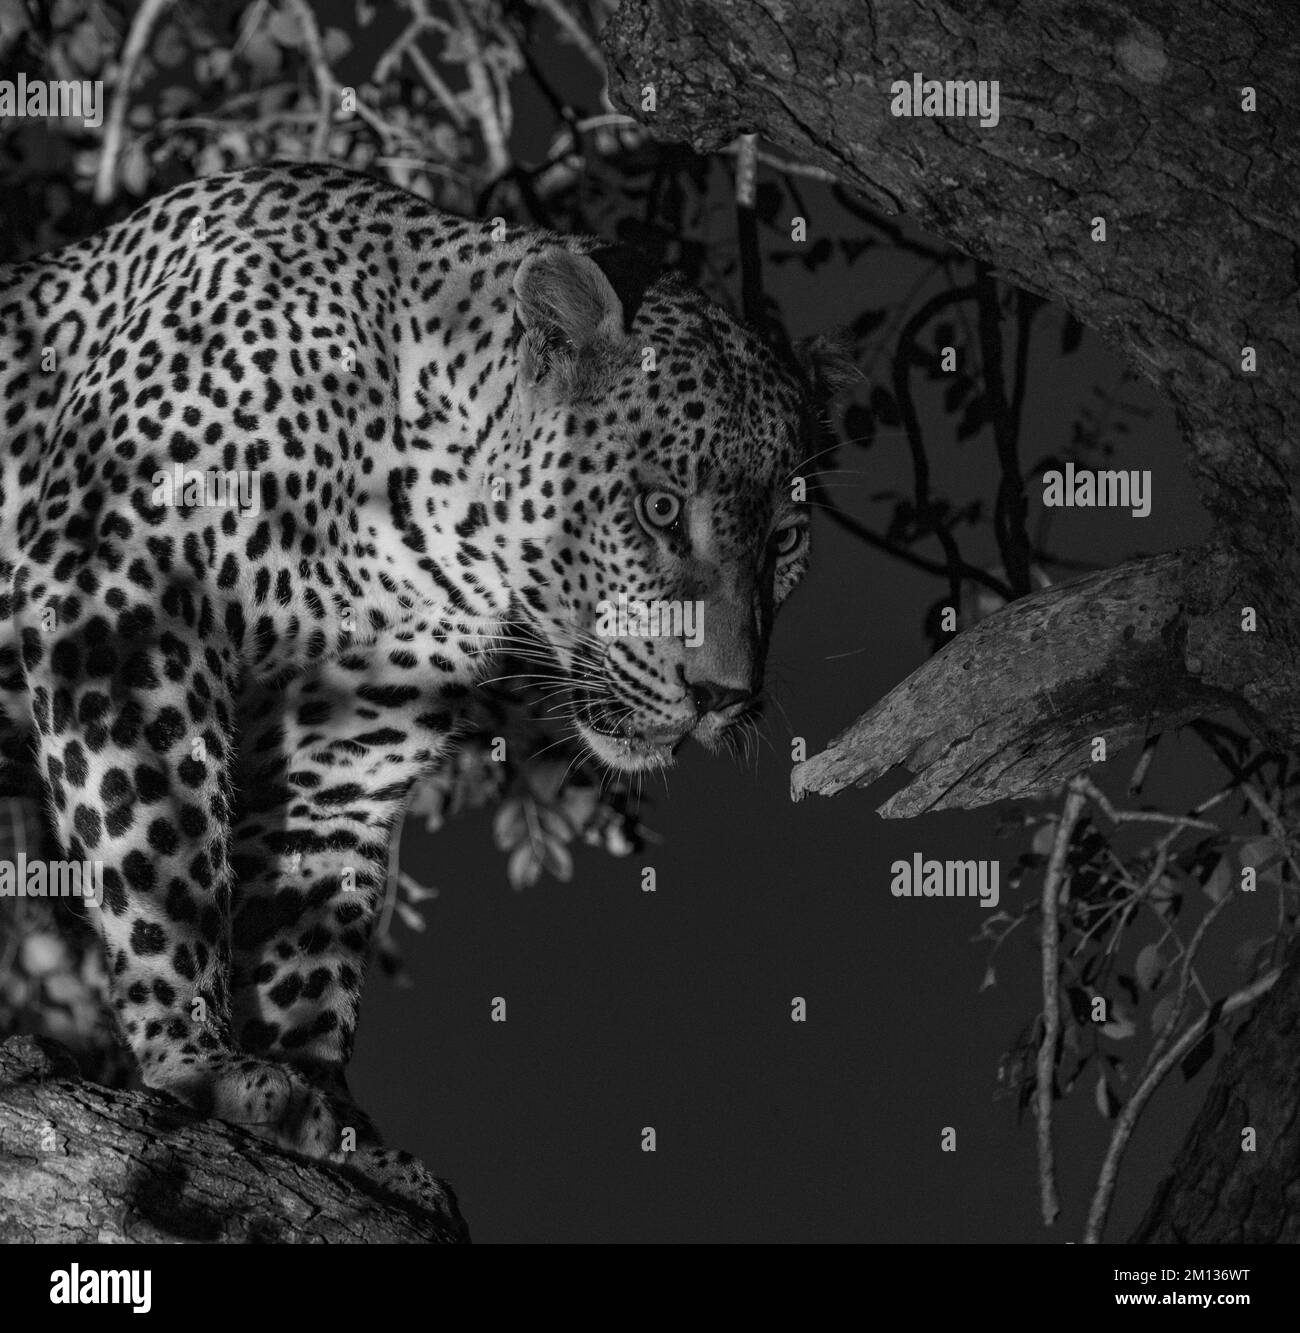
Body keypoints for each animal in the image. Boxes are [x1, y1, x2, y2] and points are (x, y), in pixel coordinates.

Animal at [0, 161, 846, 1236]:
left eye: (785, 540)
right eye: (659, 509)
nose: (722, 696)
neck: (434, 511)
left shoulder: (348, 745)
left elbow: (311, 935)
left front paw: (331, 1121)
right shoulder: (115, 587)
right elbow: (162, 849)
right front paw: (196, 1063)